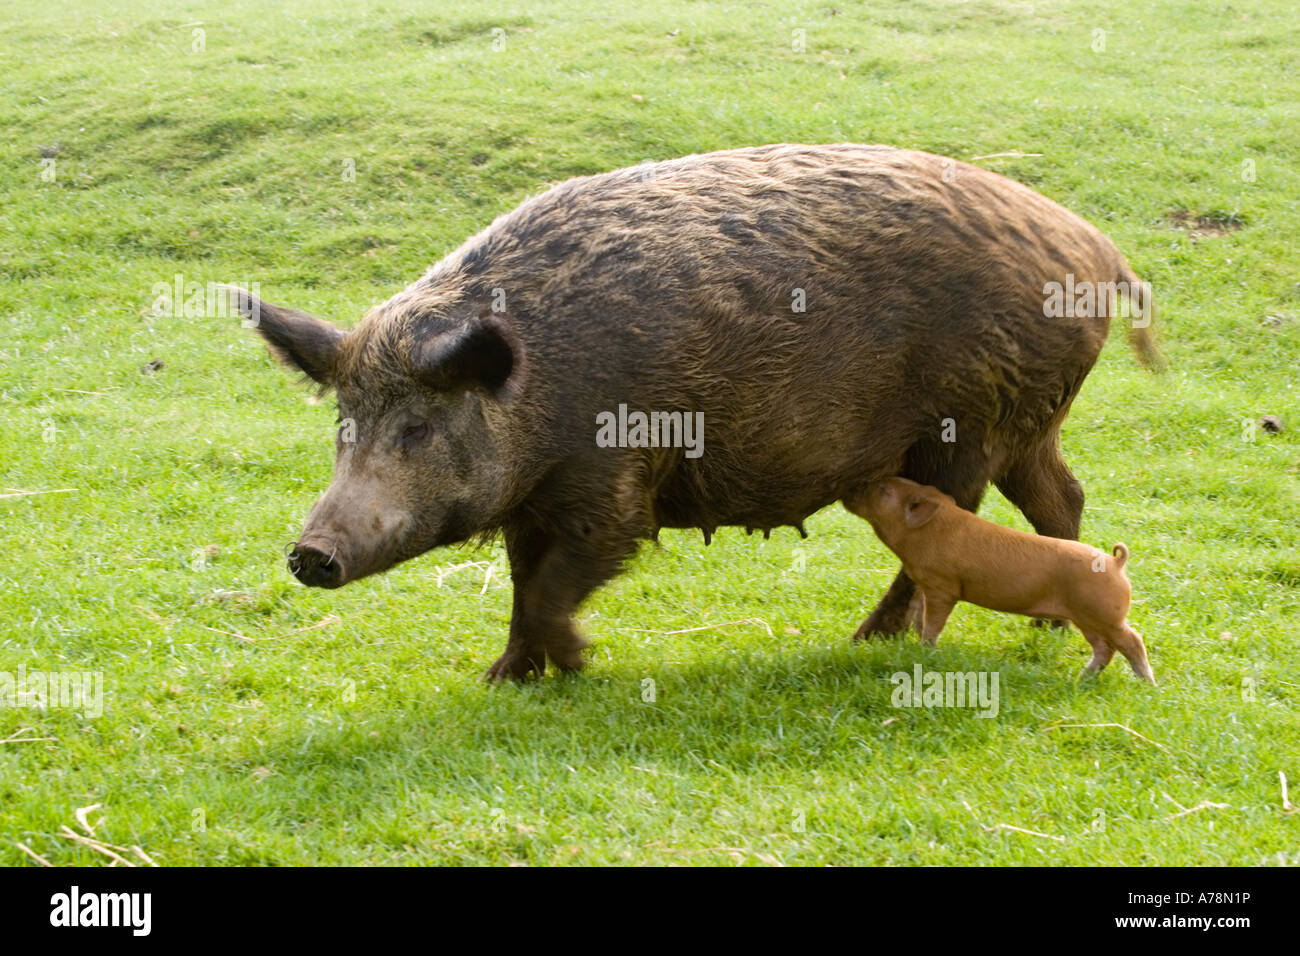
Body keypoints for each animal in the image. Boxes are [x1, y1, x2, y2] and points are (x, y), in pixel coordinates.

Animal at [225, 143, 1162, 681]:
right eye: (343, 425)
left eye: (417, 427)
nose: (309, 555)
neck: (537, 392)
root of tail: (1099, 251)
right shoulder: (535, 500)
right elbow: (525, 581)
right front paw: (504, 677)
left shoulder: (614, 477)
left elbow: (566, 574)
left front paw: (574, 666)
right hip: (1029, 421)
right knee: (1062, 497)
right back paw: (1041, 629)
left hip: (971, 422)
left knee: (958, 521)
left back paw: (866, 643)